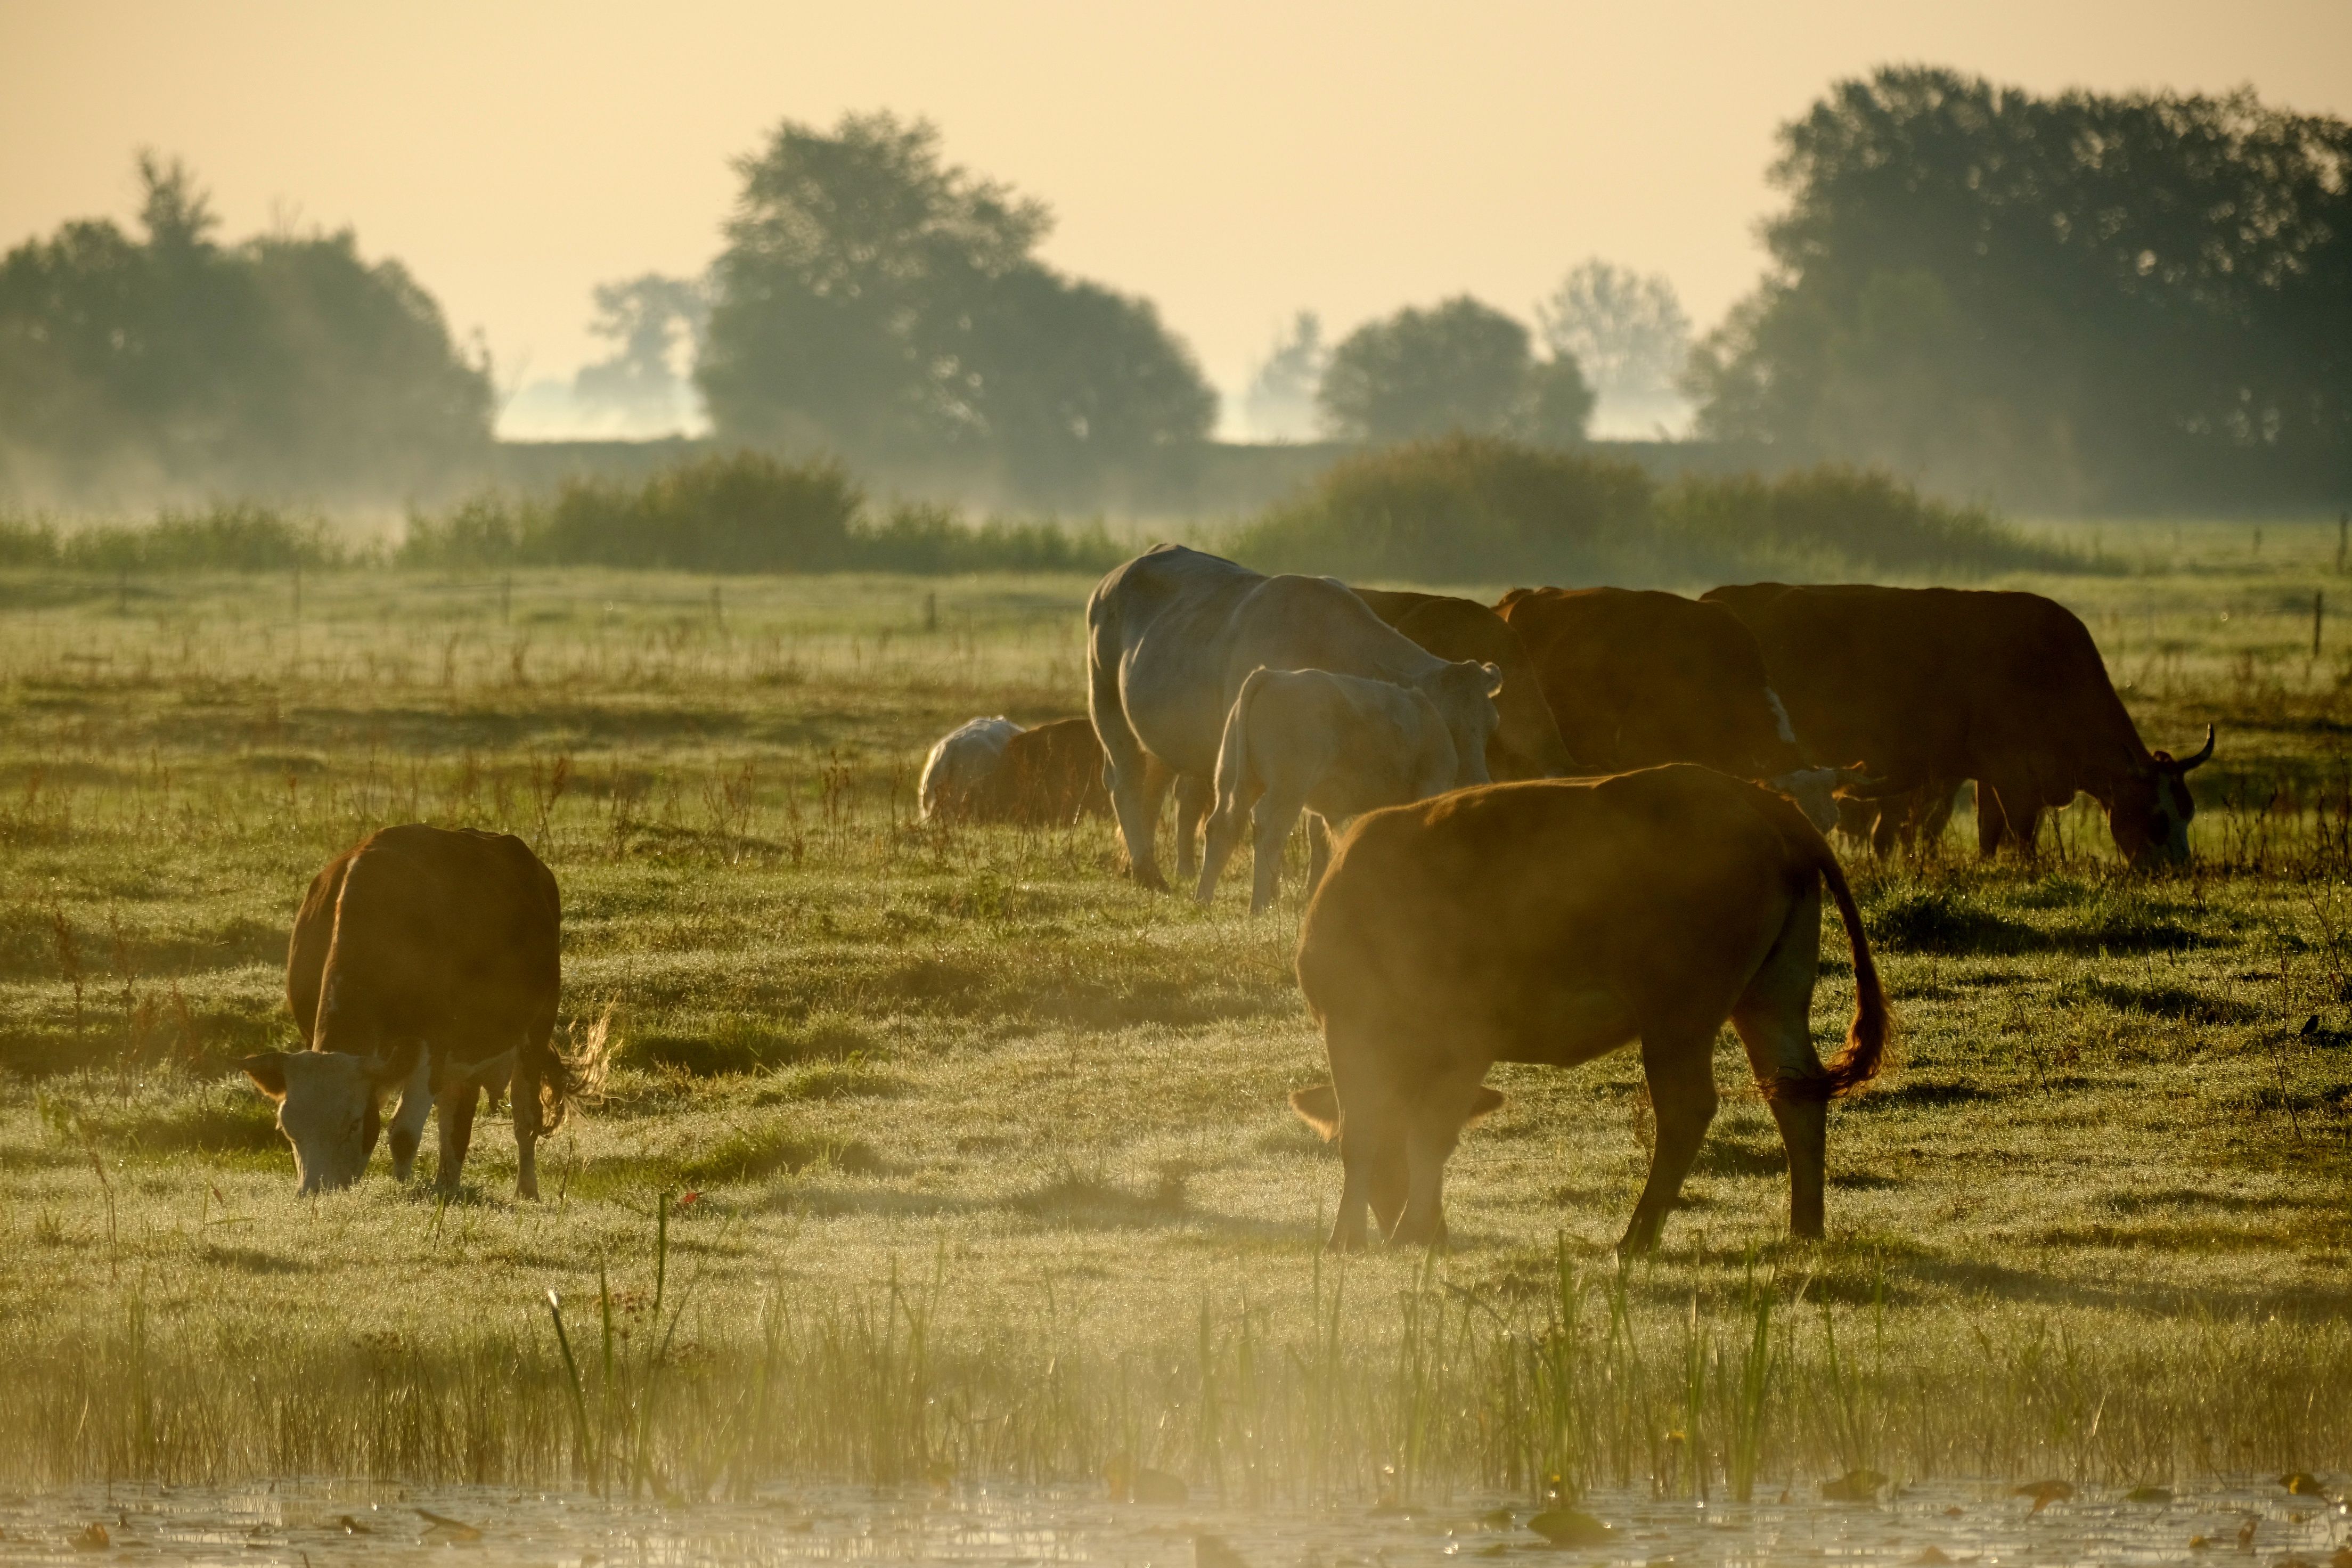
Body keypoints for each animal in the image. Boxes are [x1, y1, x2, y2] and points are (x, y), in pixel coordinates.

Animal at [242, 825, 575, 1197]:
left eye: (354, 1123)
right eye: (288, 1129)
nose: (315, 1191)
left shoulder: (433, 1041)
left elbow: (403, 1135)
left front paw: (402, 1193)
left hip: (537, 1028)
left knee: (525, 1119)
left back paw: (526, 1191)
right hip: (467, 1052)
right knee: (457, 1120)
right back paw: (447, 1187)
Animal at [1196, 667, 1492, 914]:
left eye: (1489, 720)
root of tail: (1273, 675)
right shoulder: (1431, 785)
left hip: (1233, 778)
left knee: (1221, 828)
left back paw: (1204, 900)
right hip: (1287, 789)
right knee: (1270, 836)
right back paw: (1259, 906)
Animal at [1290, 765, 1889, 1254]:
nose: (1432, 1232)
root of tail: (1758, 797)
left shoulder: (1376, 1028)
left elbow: (1380, 1131)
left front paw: (1361, 1237)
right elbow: (1422, 1133)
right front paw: (1415, 1229)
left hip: (1678, 1013)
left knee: (1687, 1108)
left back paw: (1637, 1237)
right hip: (1772, 996)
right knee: (1796, 1093)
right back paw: (1804, 1229)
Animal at [1702, 583, 2214, 864]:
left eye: (2188, 812)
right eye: (2156, 816)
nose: (2177, 869)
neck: (2051, 671)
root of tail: (1720, 599)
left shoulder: (1987, 775)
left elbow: (1990, 831)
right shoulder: (2013, 775)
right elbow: (2022, 834)